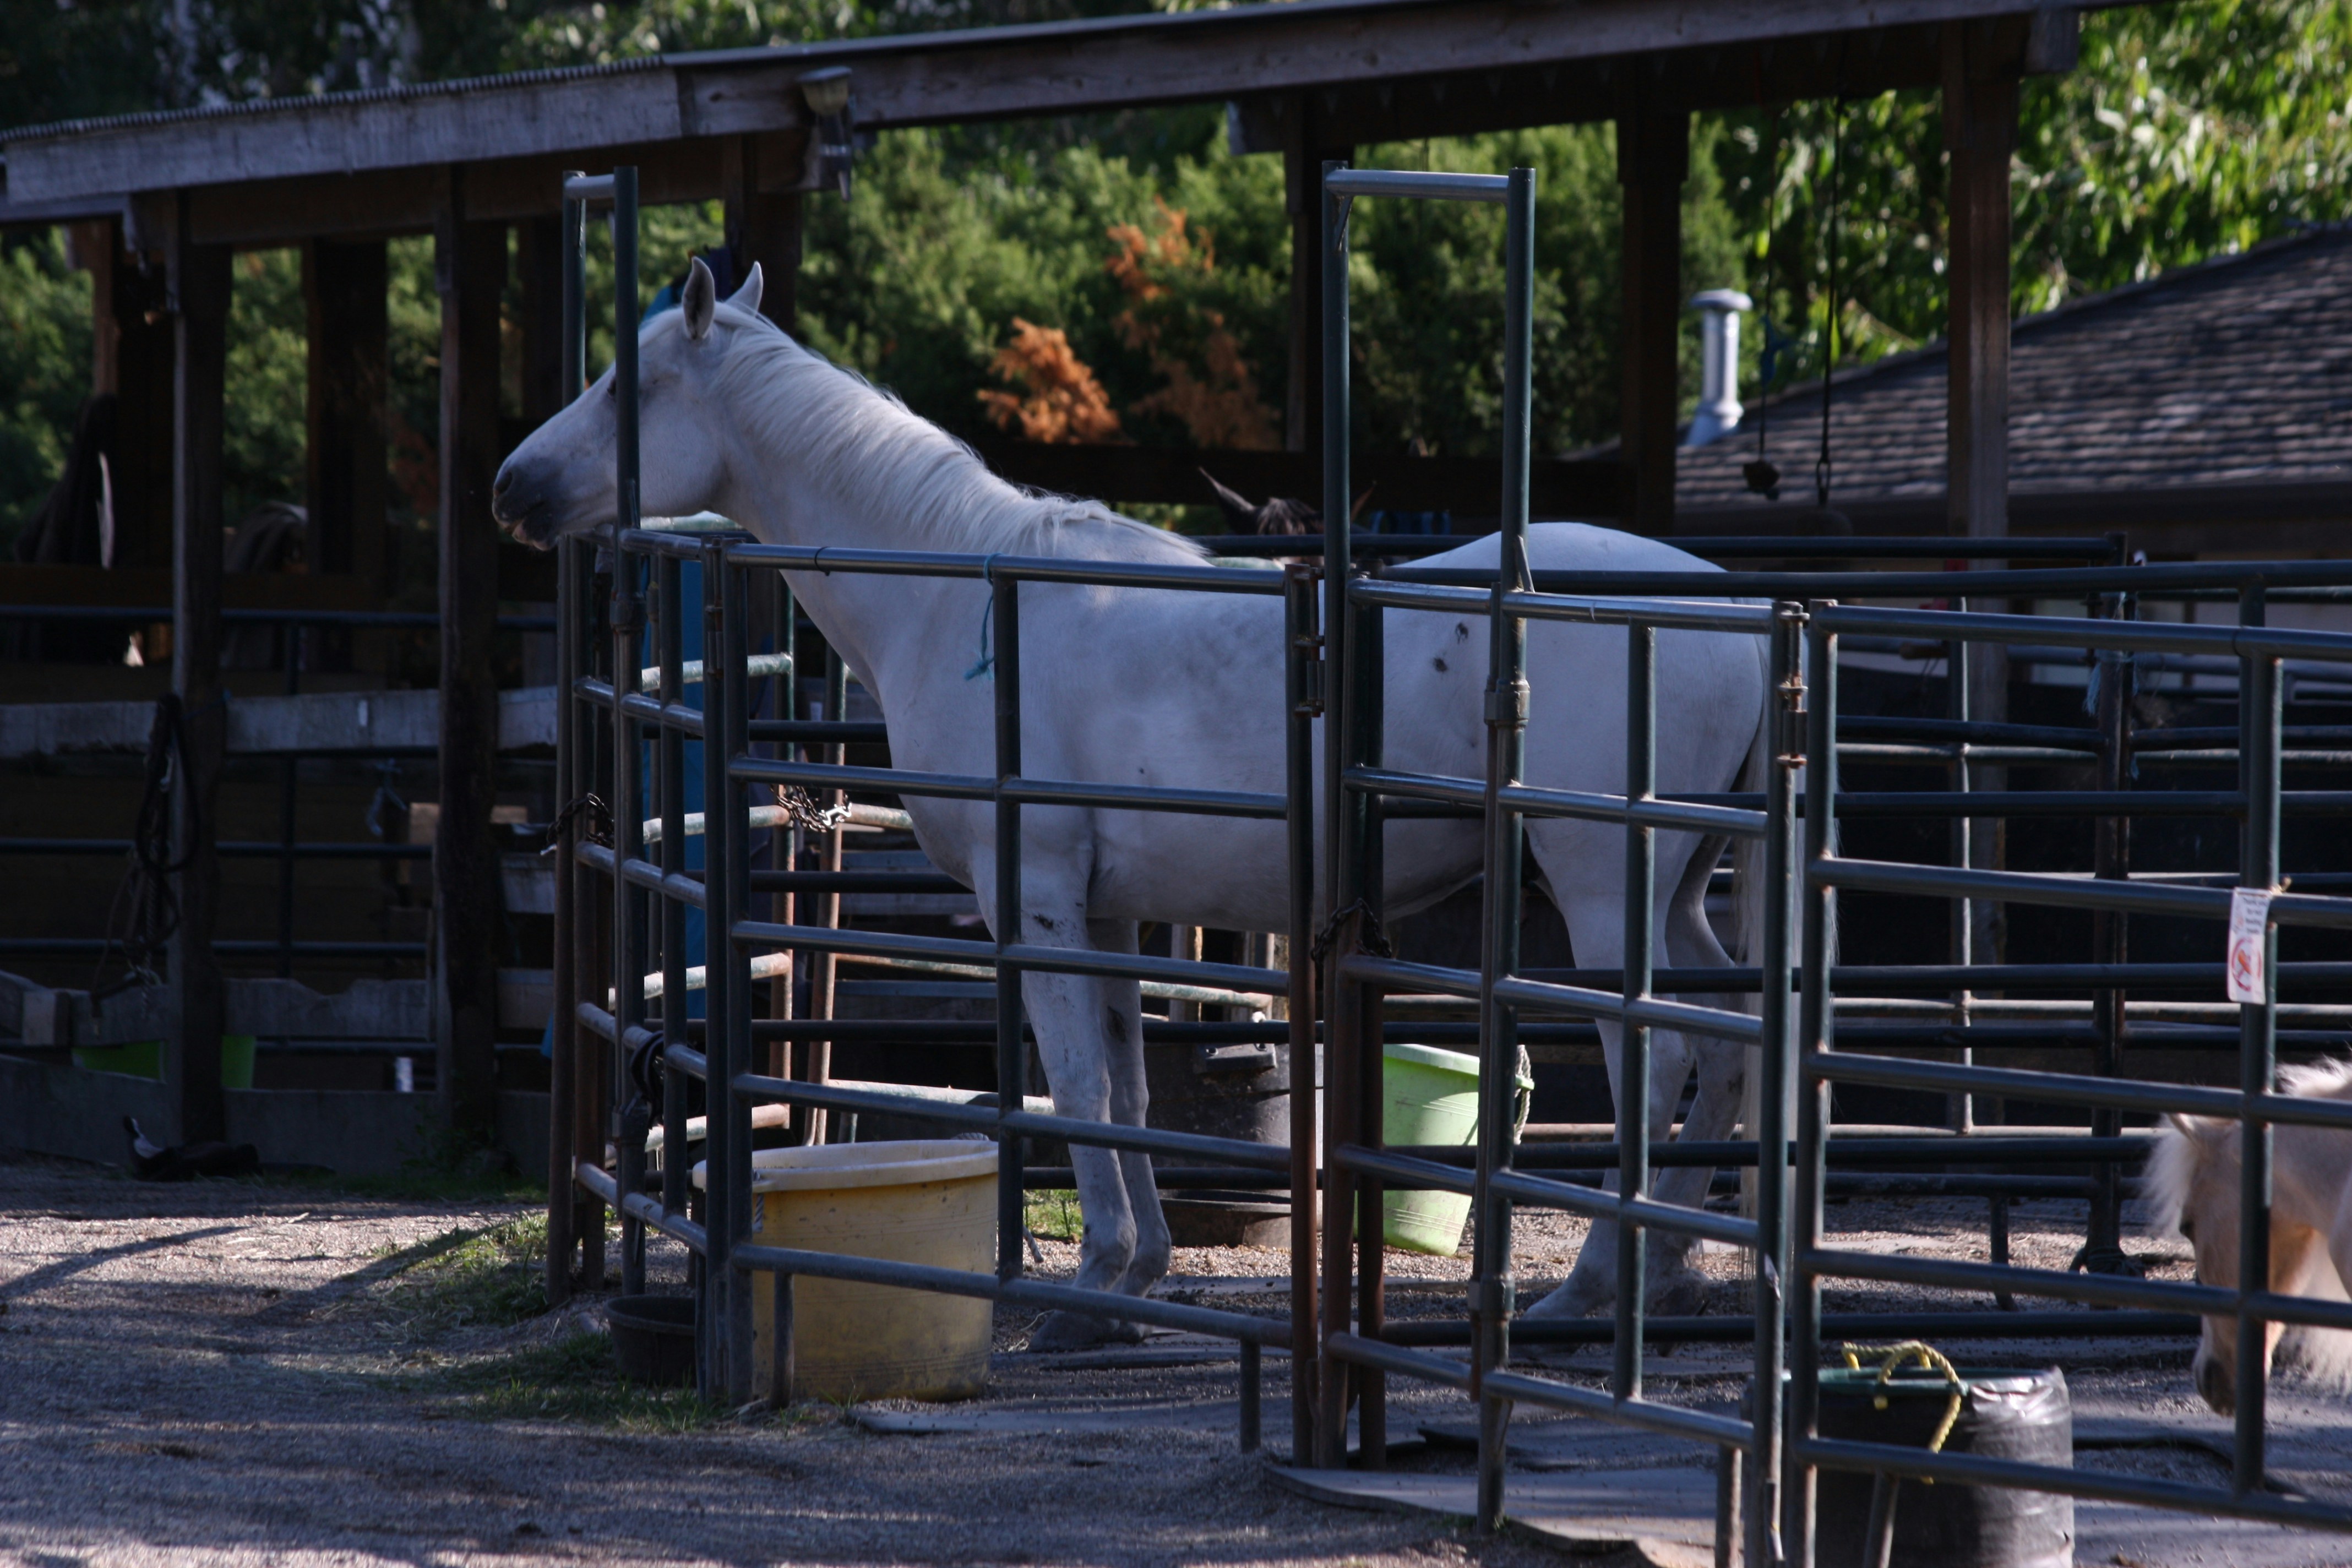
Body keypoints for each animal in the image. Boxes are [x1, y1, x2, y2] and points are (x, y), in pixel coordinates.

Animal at [492, 257, 1773, 1347]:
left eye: (627, 384)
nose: (511, 487)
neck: (962, 598)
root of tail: (1735, 612)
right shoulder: (1105, 911)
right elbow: (1124, 1080)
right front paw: (1137, 1274)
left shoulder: (1039, 901)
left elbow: (1072, 1083)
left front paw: (1091, 1285)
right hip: (1678, 884)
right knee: (1728, 1035)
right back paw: (1669, 1269)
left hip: (1602, 883)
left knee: (1657, 1051)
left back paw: (1595, 1283)